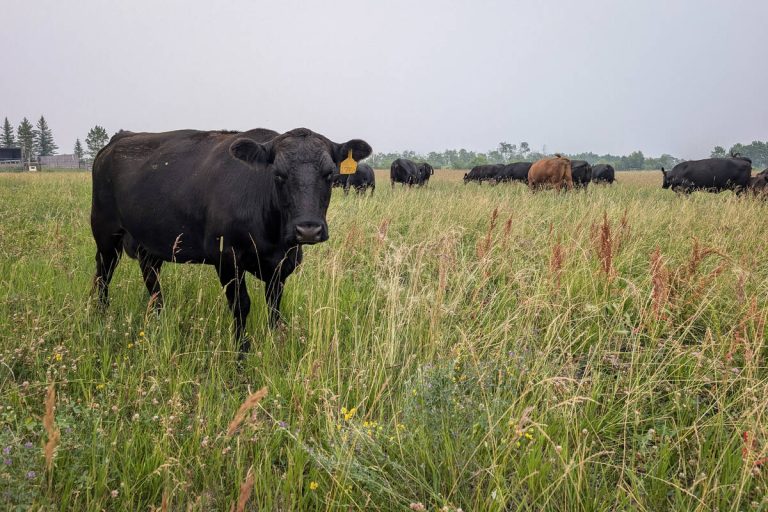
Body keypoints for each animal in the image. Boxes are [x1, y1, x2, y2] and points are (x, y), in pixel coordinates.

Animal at [91, 127, 372, 356]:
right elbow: (241, 306)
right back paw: (101, 316)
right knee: (104, 273)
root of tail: (119, 138)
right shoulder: (227, 259)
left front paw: (275, 346)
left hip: (150, 243)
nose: (308, 230)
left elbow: (274, 307)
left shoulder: (283, 265)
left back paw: (160, 317)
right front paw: (241, 353)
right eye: (278, 174)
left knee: (152, 279)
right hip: (105, 233)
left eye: (330, 174)